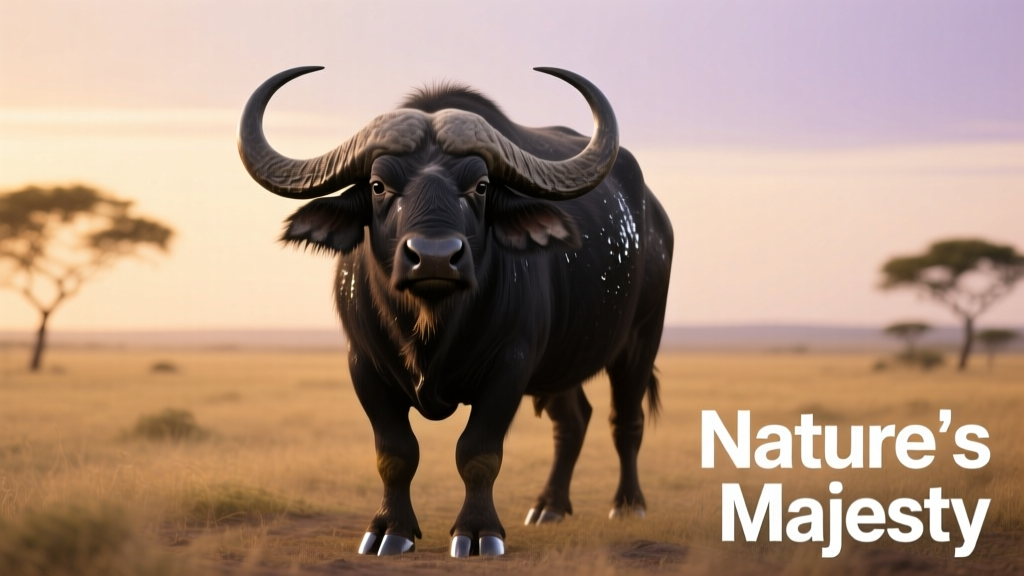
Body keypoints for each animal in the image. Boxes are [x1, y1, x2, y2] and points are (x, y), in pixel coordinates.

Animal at [238, 66, 673, 558]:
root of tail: (656, 218)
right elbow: (395, 452)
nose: (434, 257)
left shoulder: (511, 364)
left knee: (626, 420)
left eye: (480, 187)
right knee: (573, 419)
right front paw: (391, 531)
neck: (431, 324)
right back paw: (549, 507)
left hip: (640, 340)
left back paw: (628, 505)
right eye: (378, 185)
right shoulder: (363, 365)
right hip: (561, 360)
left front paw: (478, 532)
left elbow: (478, 452)